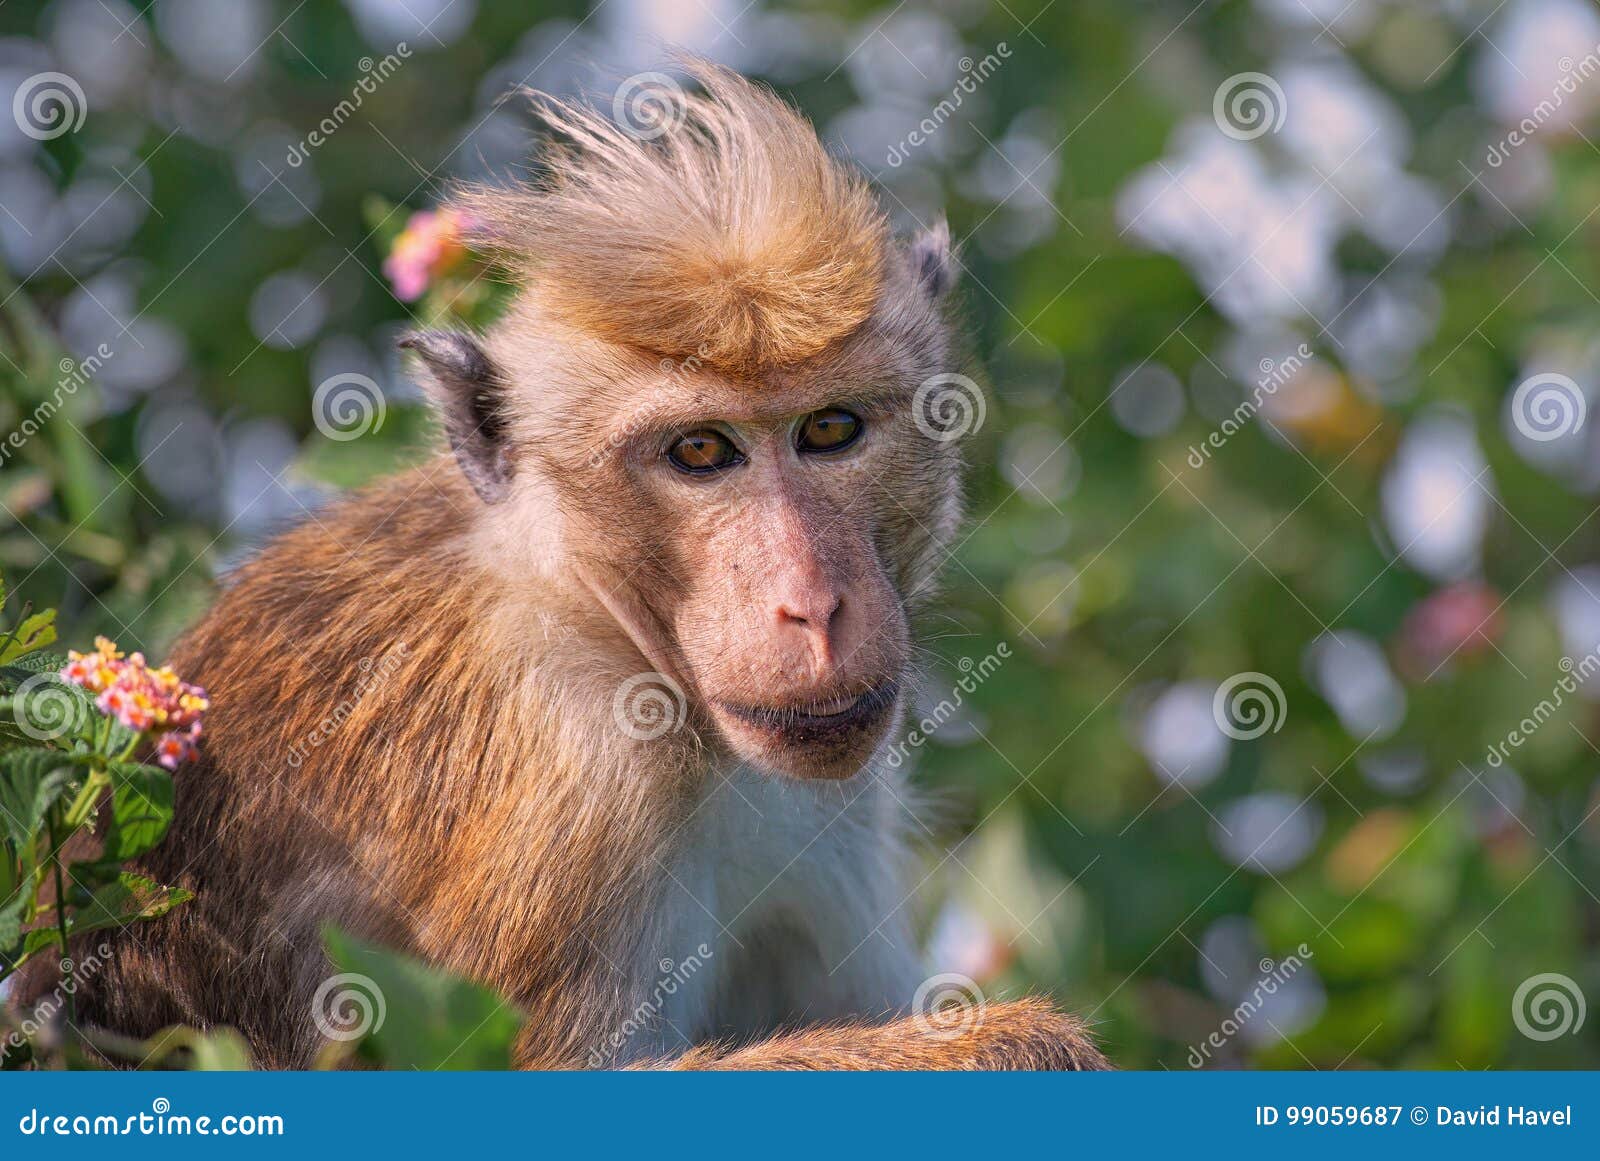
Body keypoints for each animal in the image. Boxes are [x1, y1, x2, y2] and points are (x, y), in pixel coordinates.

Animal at [25, 62, 1106, 1071]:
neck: (601, 622)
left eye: (831, 430)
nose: (812, 604)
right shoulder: (577, 793)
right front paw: (1021, 1042)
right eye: (700, 452)